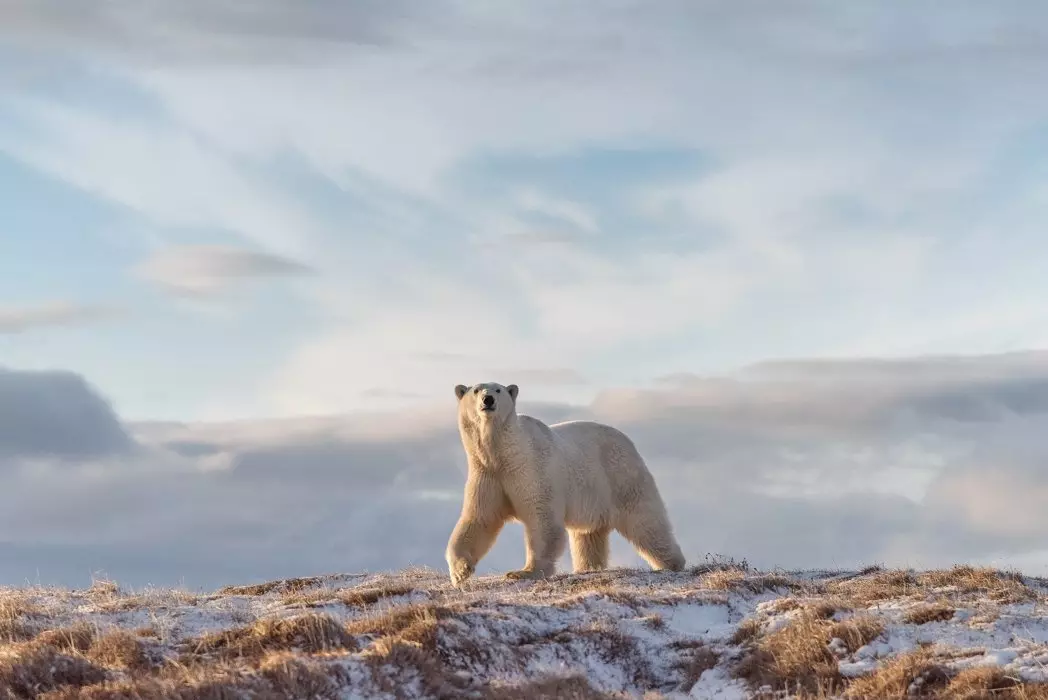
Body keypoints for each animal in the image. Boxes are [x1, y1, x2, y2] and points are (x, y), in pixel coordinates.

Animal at [444, 383, 683, 586]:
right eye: (476, 390)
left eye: (498, 389)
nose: (488, 399)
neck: (505, 454)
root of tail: (628, 441)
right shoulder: (488, 475)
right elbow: (479, 519)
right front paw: (460, 572)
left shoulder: (531, 470)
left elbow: (542, 519)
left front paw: (525, 572)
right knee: (588, 536)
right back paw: (587, 568)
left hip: (621, 476)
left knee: (645, 521)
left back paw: (672, 563)